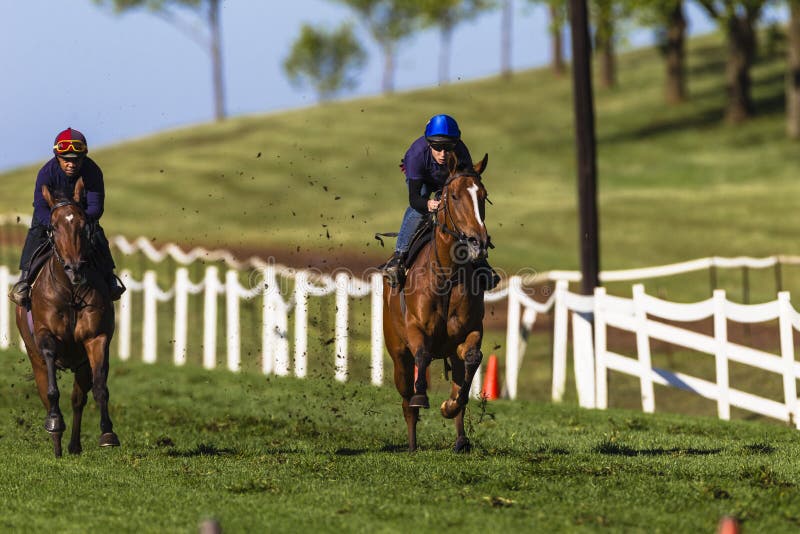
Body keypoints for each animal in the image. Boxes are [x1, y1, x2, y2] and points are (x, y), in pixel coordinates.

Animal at [15, 178, 120, 457]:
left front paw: (107, 433)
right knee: (45, 391)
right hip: (35, 357)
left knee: (77, 399)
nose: (75, 268)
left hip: (81, 363)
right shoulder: (46, 339)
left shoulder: (96, 338)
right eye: (54, 226)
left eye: (83, 226)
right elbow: (52, 392)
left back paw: (73, 445)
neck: (71, 292)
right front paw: (54, 423)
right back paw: (57, 442)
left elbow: (100, 387)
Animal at [383, 153, 491, 452]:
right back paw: (411, 443)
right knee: (406, 399)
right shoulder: (416, 329)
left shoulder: (470, 330)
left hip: (451, 352)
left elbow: (472, 361)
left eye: (483, 196)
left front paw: (449, 405)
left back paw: (461, 440)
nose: (478, 242)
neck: (447, 276)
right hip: (397, 354)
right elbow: (422, 355)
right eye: (453, 196)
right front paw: (424, 398)